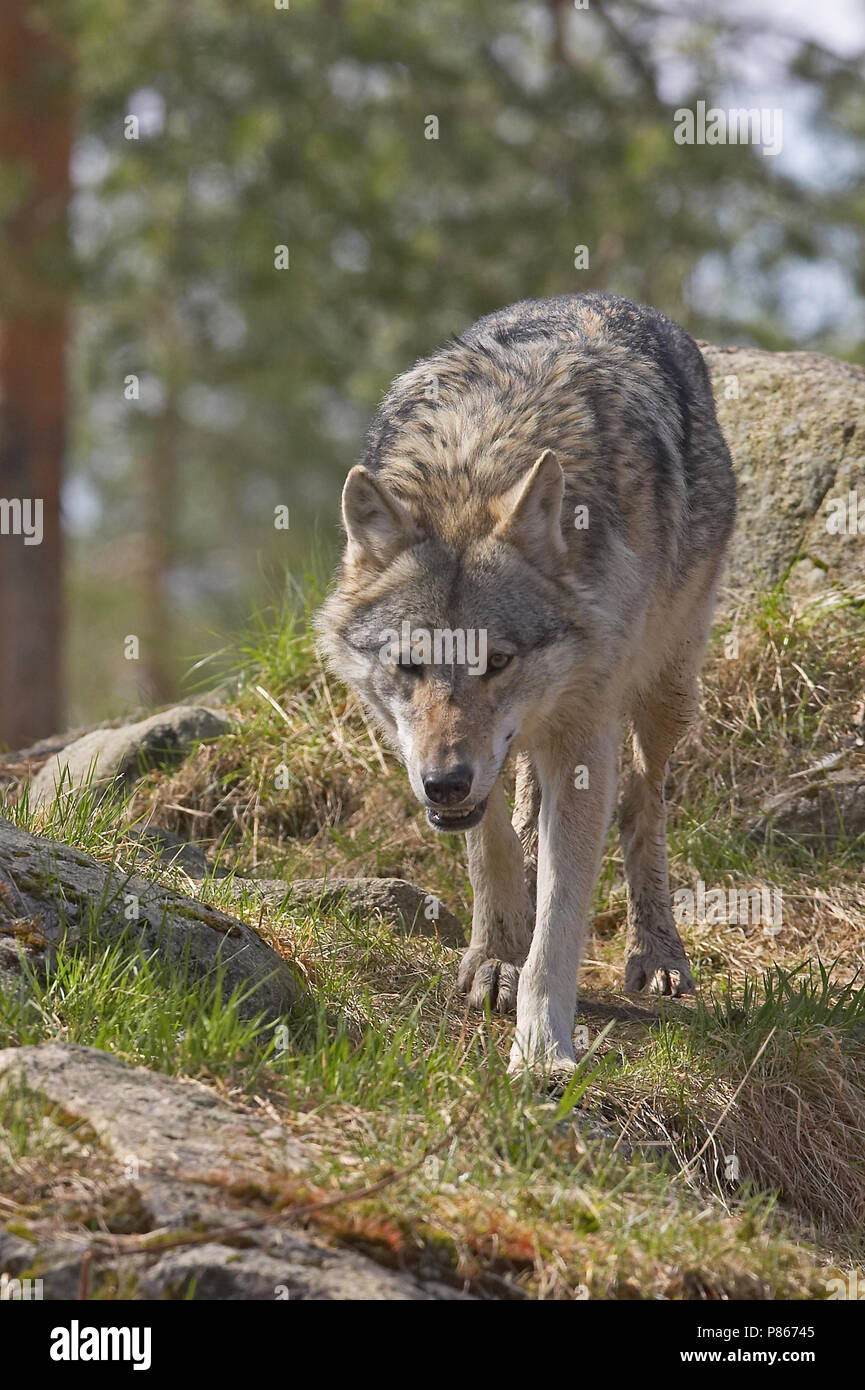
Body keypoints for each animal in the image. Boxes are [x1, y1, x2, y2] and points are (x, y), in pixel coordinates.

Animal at [318, 293, 736, 1076]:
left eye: (498, 660)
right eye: (410, 664)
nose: (443, 783)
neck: (476, 459)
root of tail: (612, 298)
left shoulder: (582, 739)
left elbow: (562, 920)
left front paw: (542, 1047)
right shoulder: (442, 754)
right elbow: (493, 851)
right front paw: (496, 956)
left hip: (666, 691)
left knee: (644, 803)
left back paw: (657, 952)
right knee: (521, 811)